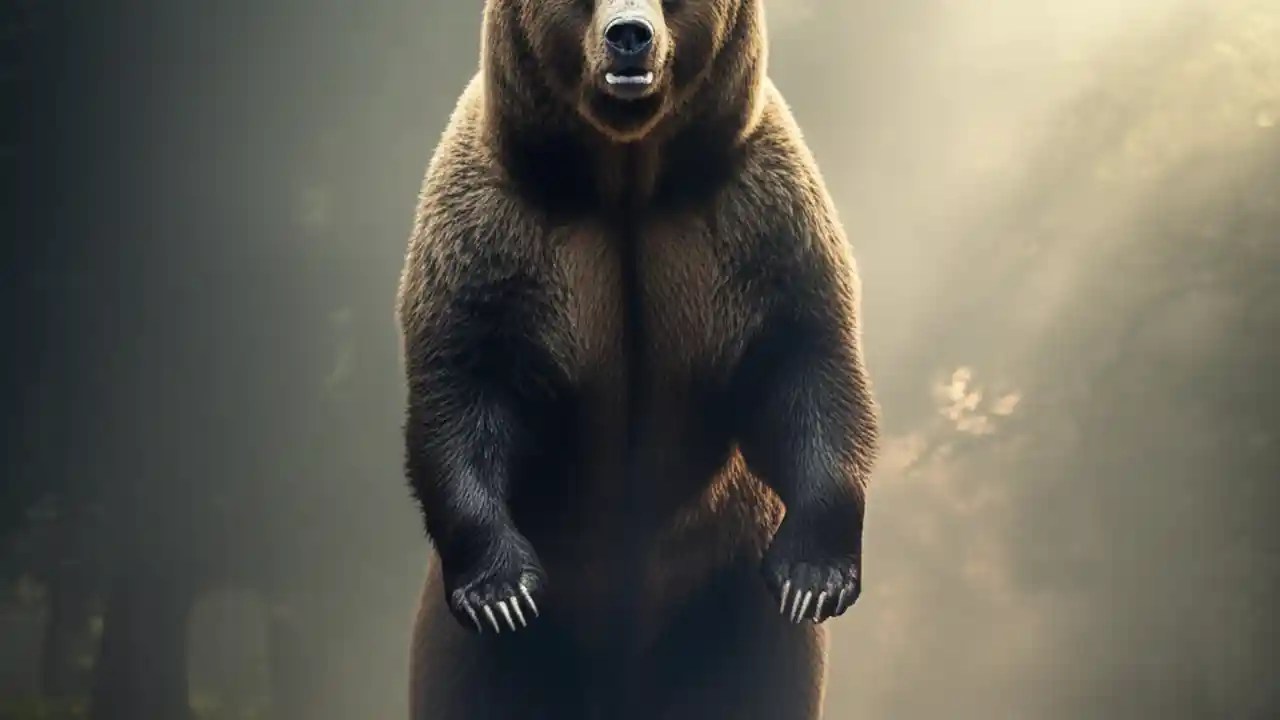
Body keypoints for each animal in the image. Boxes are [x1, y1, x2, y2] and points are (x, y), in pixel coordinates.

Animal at [396, 1, 879, 718]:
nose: (630, 35)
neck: (625, 181)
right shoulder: (496, 228)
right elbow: (463, 378)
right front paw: (503, 592)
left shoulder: (752, 218)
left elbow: (806, 360)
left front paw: (813, 576)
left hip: (732, 612)